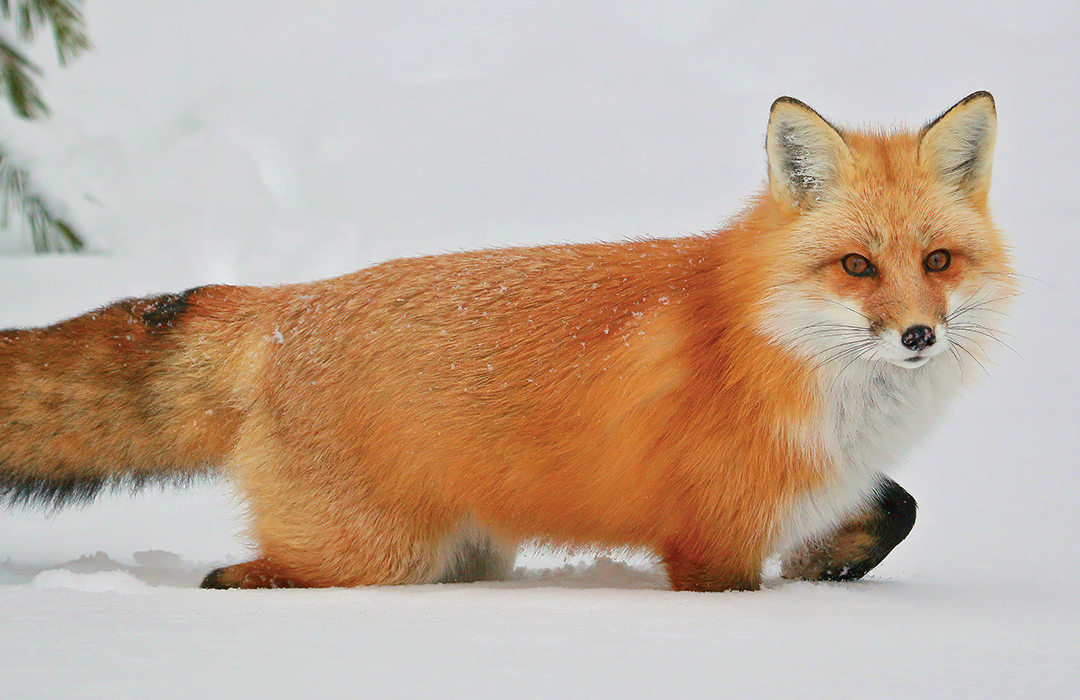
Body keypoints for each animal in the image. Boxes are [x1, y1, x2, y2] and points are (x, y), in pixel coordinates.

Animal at [0, 92, 1012, 591]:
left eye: (937, 260)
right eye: (856, 266)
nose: (919, 334)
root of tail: (287, 304)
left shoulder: (822, 481)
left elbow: (896, 507)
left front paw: (828, 568)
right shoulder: (709, 547)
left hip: (466, 552)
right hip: (374, 556)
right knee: (240, 576)